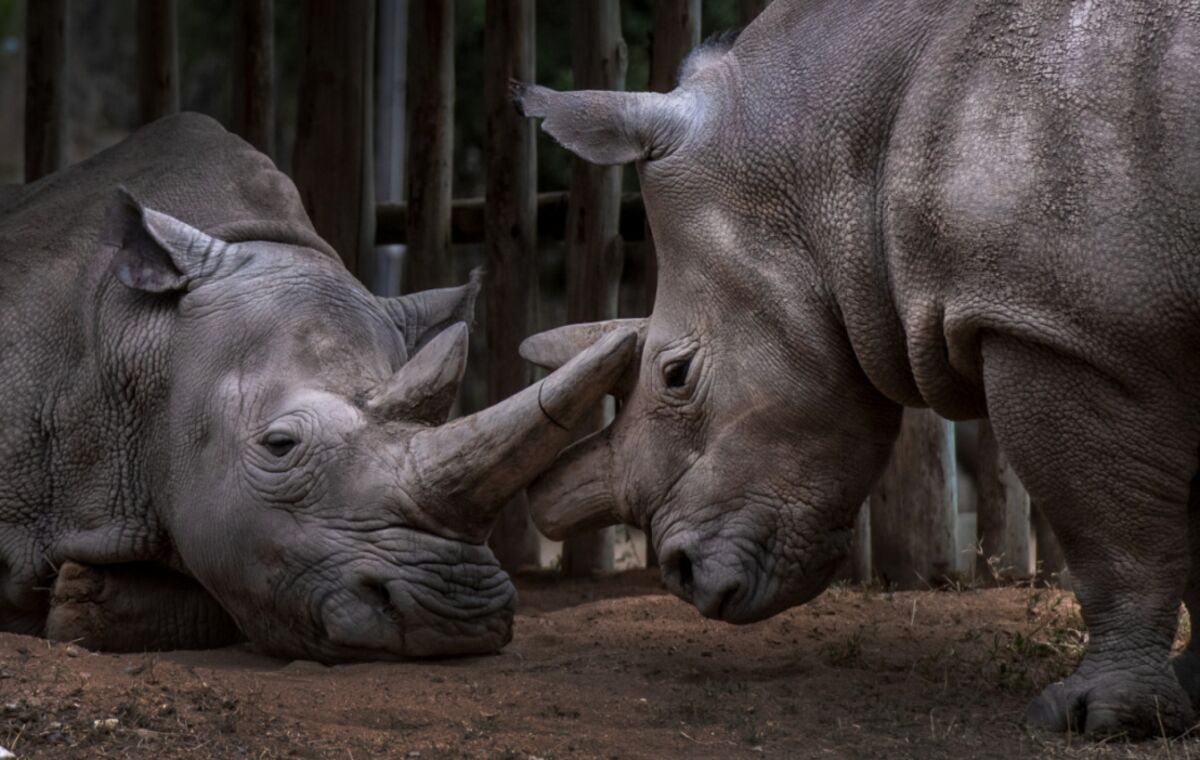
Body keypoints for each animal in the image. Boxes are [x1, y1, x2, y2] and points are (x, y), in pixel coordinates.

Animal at [515, 0, 1200, 737]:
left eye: (675, 375)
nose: (681, 574)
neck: (829, 153)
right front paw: (1192, 693)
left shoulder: (1059, 326)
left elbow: (1109, 532)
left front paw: (1099, 717)